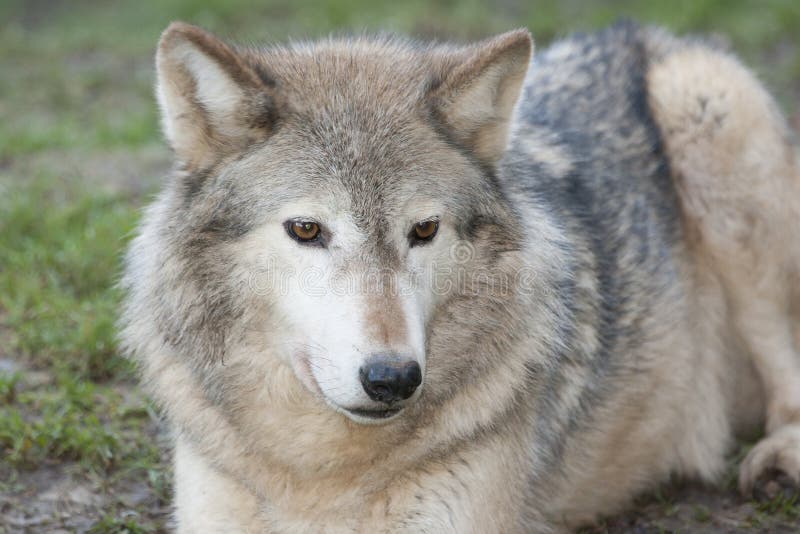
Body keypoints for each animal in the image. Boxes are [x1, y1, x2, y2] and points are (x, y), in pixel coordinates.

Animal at [119, 19, 800, 532]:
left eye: (424, 231)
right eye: (307, 230)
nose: (392, 379)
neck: (324, 479)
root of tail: (641, 32)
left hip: (705, 118)